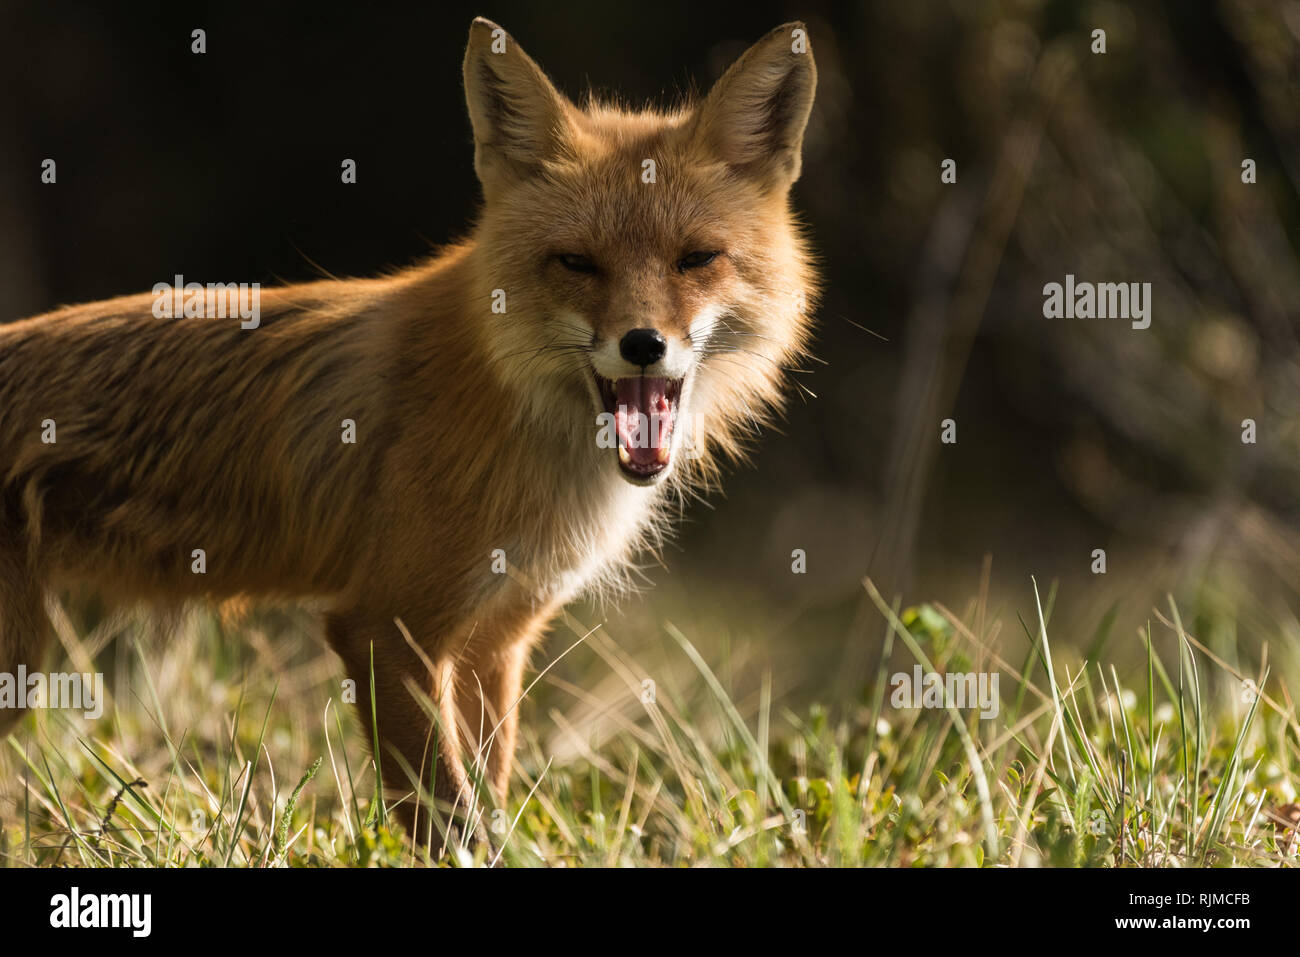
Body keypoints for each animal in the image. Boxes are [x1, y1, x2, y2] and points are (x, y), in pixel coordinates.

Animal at [0, 17, 818, 838]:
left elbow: (490, 795)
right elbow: (452, 823)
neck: (514, 409)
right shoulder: (383, 627)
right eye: (576, 263)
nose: (643, 344)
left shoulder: (498, 638)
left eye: (697, 258)